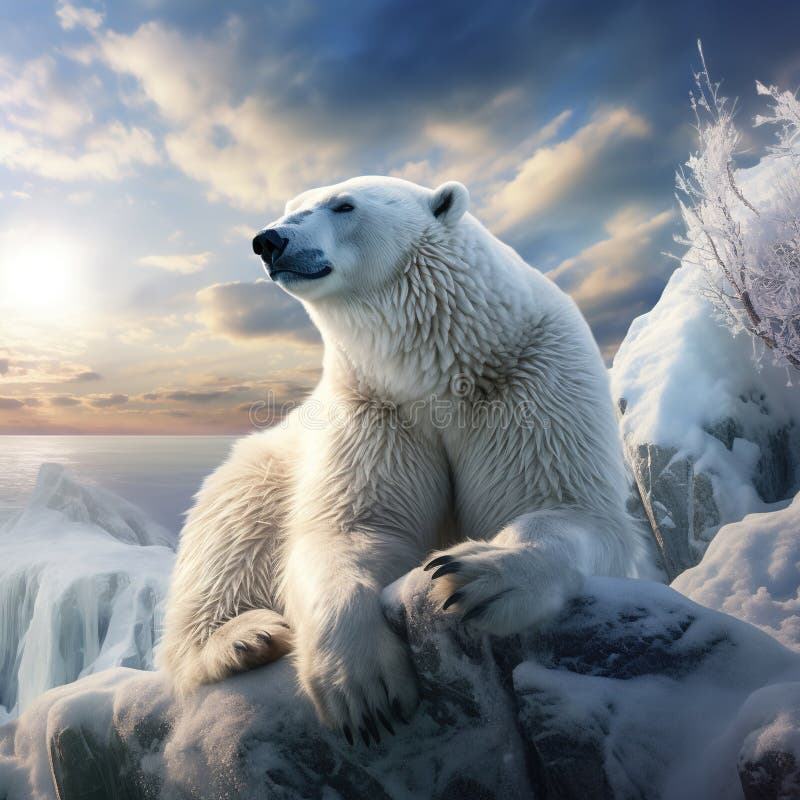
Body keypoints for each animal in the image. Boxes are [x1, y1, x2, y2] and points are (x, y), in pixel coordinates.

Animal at [157, 176, 651, 743]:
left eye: (343, 205)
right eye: (289, 206)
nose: (268, 240)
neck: (441, 368)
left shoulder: (532, 380)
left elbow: (568, 508)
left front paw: (477, 573)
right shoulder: (375, 406)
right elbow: (353, 527)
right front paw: (364, 687)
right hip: (264, 469)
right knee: (231, 536)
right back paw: (242, 639)